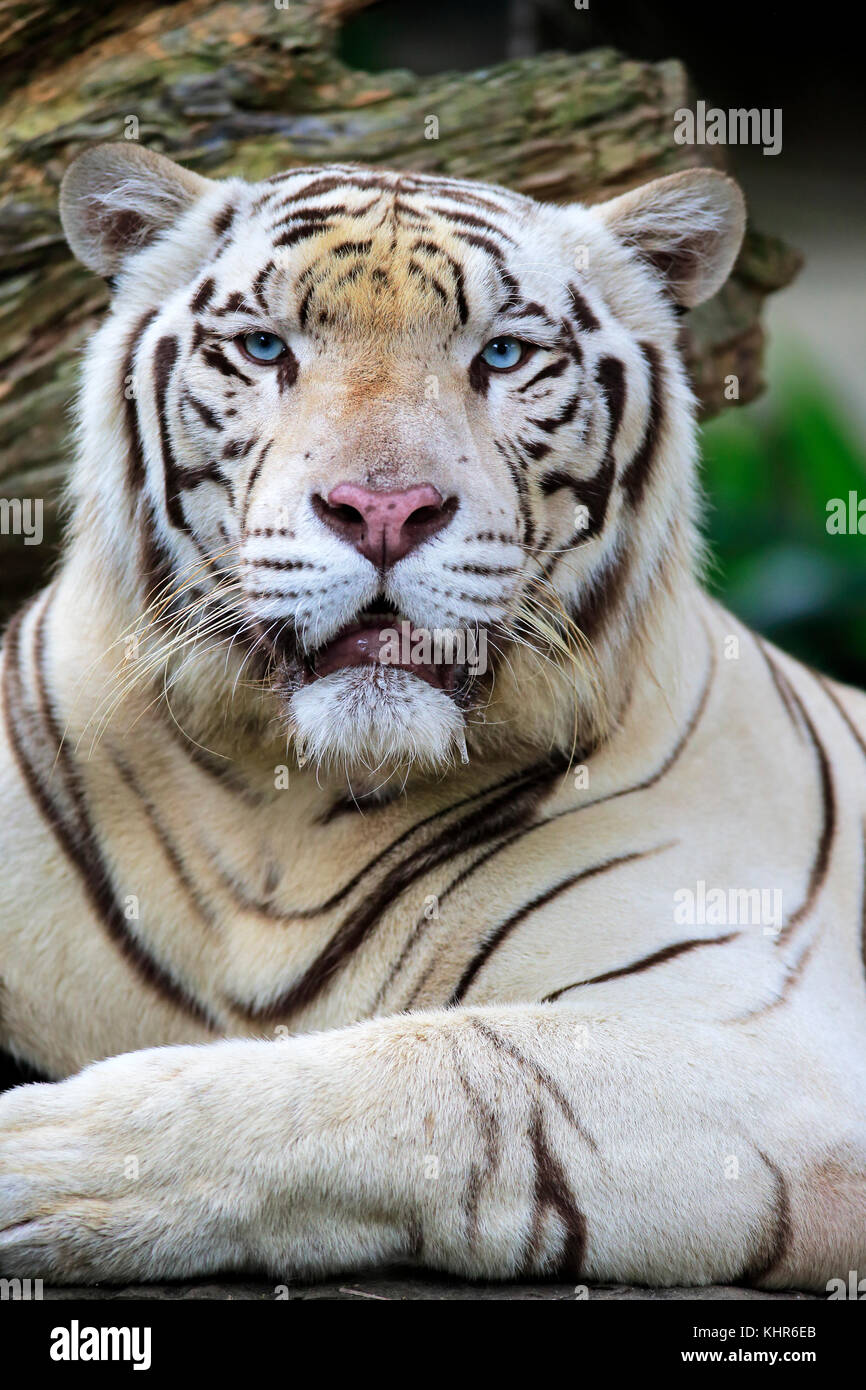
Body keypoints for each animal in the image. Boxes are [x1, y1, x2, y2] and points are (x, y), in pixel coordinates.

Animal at [0, 142, 864, 1292]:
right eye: (265, 347)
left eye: (501, 355)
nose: (382, 511)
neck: (279, 809)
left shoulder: (775, 1044)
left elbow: (438, 1066)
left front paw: (46, 1153)